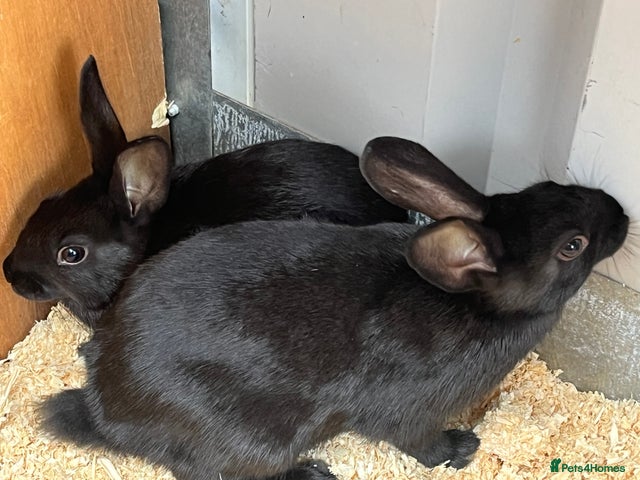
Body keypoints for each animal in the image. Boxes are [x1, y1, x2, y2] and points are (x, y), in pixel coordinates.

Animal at [41, 136, 628, 480]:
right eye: (572, 246)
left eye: (549, 185)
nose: (622, 214)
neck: (478, 305)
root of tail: (102, 415)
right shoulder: (411, 410)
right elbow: (418, 441)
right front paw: (462, 450)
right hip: (253, 439)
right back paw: (312, 473)